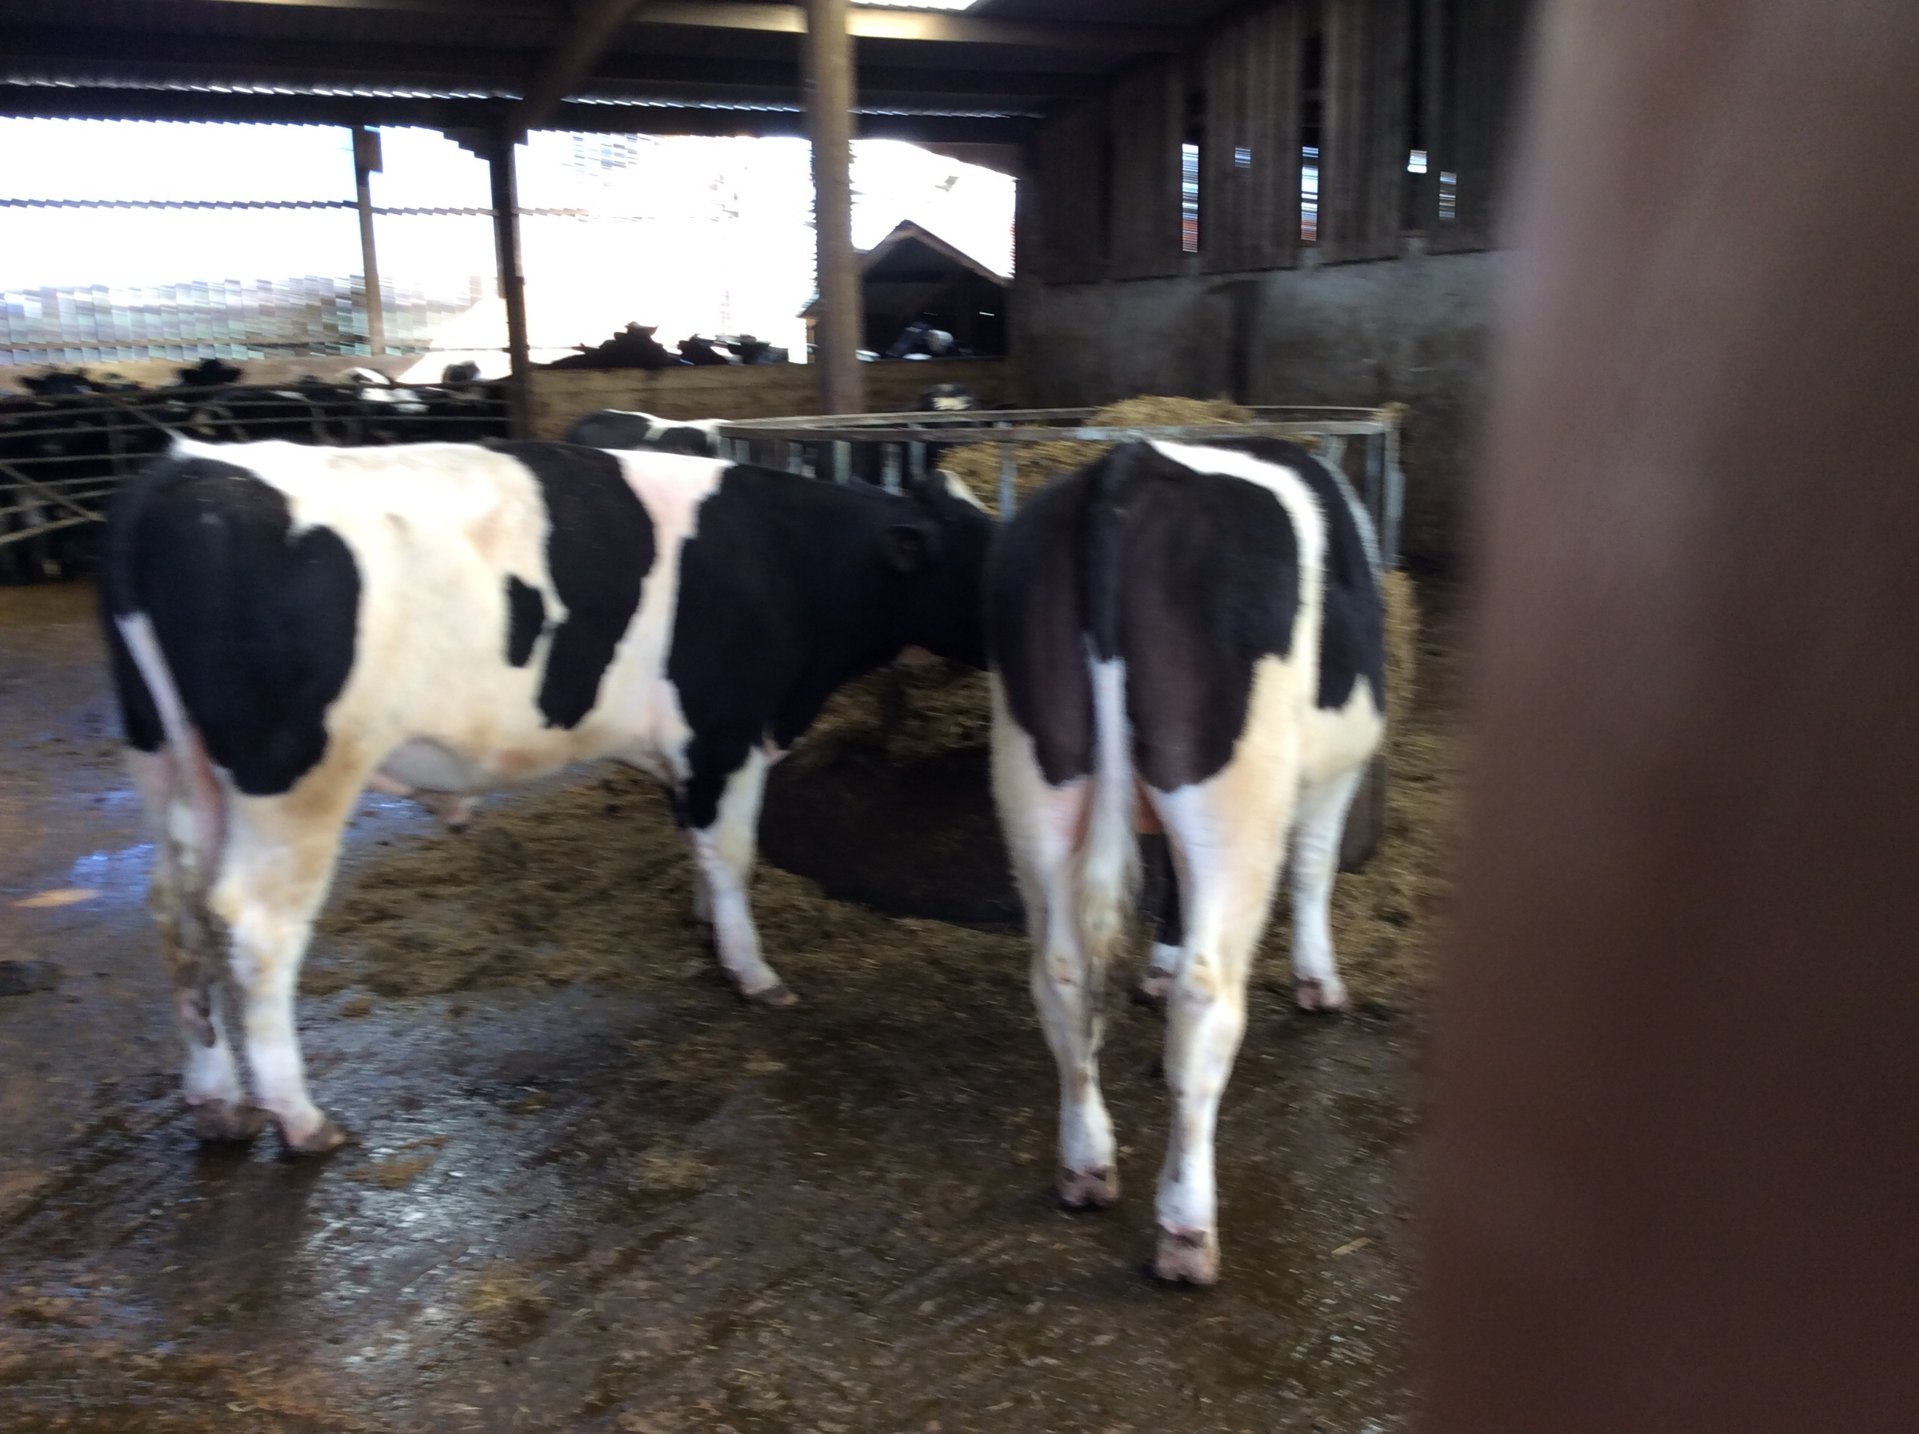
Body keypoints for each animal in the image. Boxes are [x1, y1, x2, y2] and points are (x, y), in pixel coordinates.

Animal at [101, 438, 993, 1152]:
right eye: (991, 553)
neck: (788, 557)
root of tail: (183, 472)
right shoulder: (724, 731)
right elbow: (731, 853)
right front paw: (752, 970)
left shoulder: (691, 747)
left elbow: (696, 843)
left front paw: (707, 929)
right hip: (295, 781)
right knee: (254, 928)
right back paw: (299, 1118)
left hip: (169, 762)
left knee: (178, 911)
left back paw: (218, 1105)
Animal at [985, 436, 1386, 1286]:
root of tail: (1129, 467)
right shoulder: (1334, 774)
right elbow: (1313, 868)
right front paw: (1319, 983)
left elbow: (1169, 879)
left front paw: (1156, 966)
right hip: (1233, 800)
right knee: (1206, 1003)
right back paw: (1185, 1230)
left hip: (1036, 779)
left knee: (1059, 973)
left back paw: (1085, 1164)